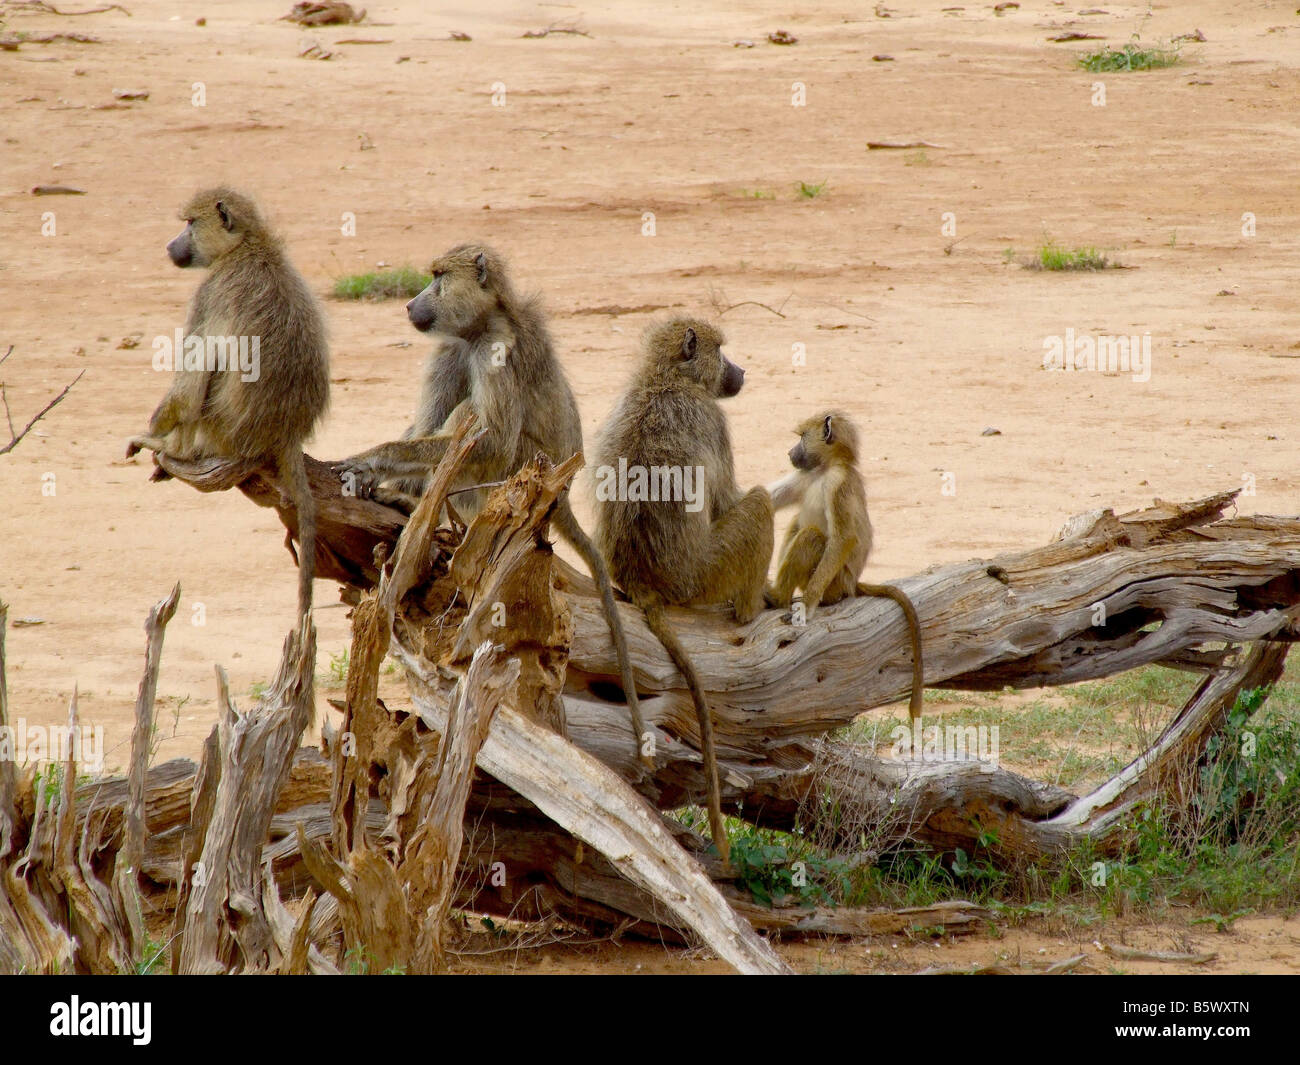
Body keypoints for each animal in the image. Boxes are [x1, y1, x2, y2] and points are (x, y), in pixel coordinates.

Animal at [126, 187, 330, 620]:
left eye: (190, 223)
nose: (170, 245)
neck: (248, 245)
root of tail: (286, 433)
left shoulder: (210, 292)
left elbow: (188, 390)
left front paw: (151, 433)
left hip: (218, 432)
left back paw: (173, 450)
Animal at [337, 244, 652, 765]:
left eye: (438, 277)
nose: (411, 305)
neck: (479, 325)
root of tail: (562, 496)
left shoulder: (494, 349)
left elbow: (493, 439)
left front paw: (371, 462)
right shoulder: (450, 351)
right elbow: (429, 421)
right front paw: (382, 480)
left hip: (517, 475)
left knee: (478, 424)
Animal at [592, 318, 774, 864]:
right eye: (723, 351)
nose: (741, 371)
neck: (663, 380)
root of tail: (646, 585)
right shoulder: (713, 421)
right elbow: (728, 499)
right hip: (706, 574)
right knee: (758, 504)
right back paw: (751, 608)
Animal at [766, 411, 924, 721]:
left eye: (801, 437)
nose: (789, 453)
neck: (824, 470)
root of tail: (852, 584)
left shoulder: (838, 484)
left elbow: (843, 539)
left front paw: (806, 607)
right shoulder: (804, 476)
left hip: (835, 582)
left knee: (810, 535)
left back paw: (779, 597)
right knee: (797, 525)